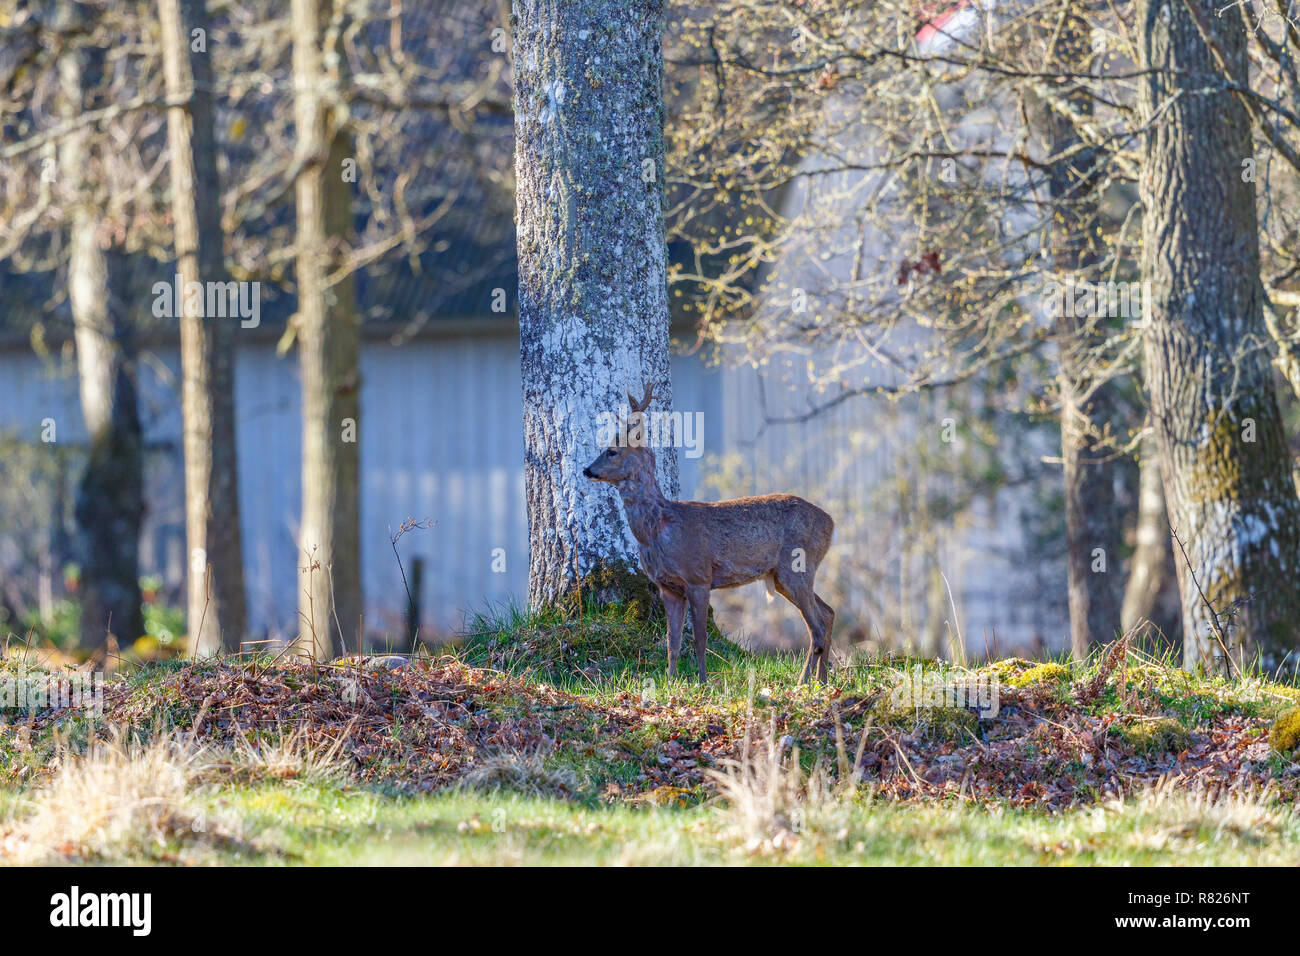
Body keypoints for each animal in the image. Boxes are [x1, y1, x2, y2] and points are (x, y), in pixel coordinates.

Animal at [583, 382, 836, 684]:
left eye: (612, 451)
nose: (587, 470)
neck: (658, 527)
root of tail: (832, 523)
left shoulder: (699, 577)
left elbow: (699, 638)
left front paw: (702, 682)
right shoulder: (668, 587)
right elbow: (672, 641)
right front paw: (671, 681)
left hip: (796, 566)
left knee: (817, 624)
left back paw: (805, 682)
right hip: (782, 575)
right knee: (828, 613)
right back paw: (820, 680)